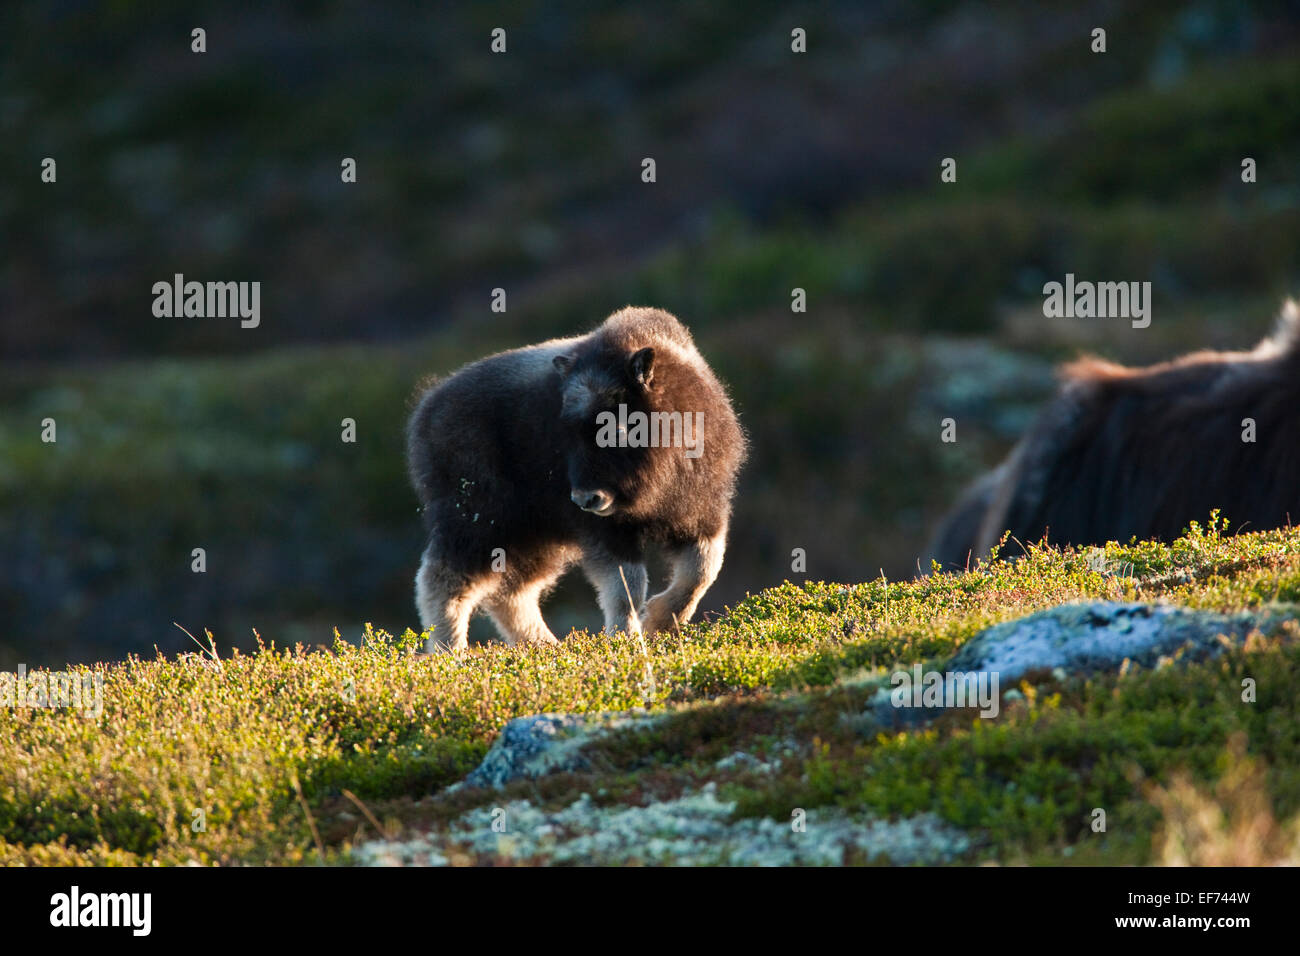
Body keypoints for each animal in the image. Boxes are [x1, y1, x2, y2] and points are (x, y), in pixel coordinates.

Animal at [406, 306, 746, 652]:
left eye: (615, 429)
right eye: (567, 431)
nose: (584, 498)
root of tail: (427, 409)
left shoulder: (702, 511)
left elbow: (702, 569)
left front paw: (659, 623)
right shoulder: (606, 530)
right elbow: (628, 586)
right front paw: (628, 640)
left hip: (534, 536)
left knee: (512, 591)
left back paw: (544, 645)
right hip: (480, 520)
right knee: (446, 581)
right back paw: (452, 652)